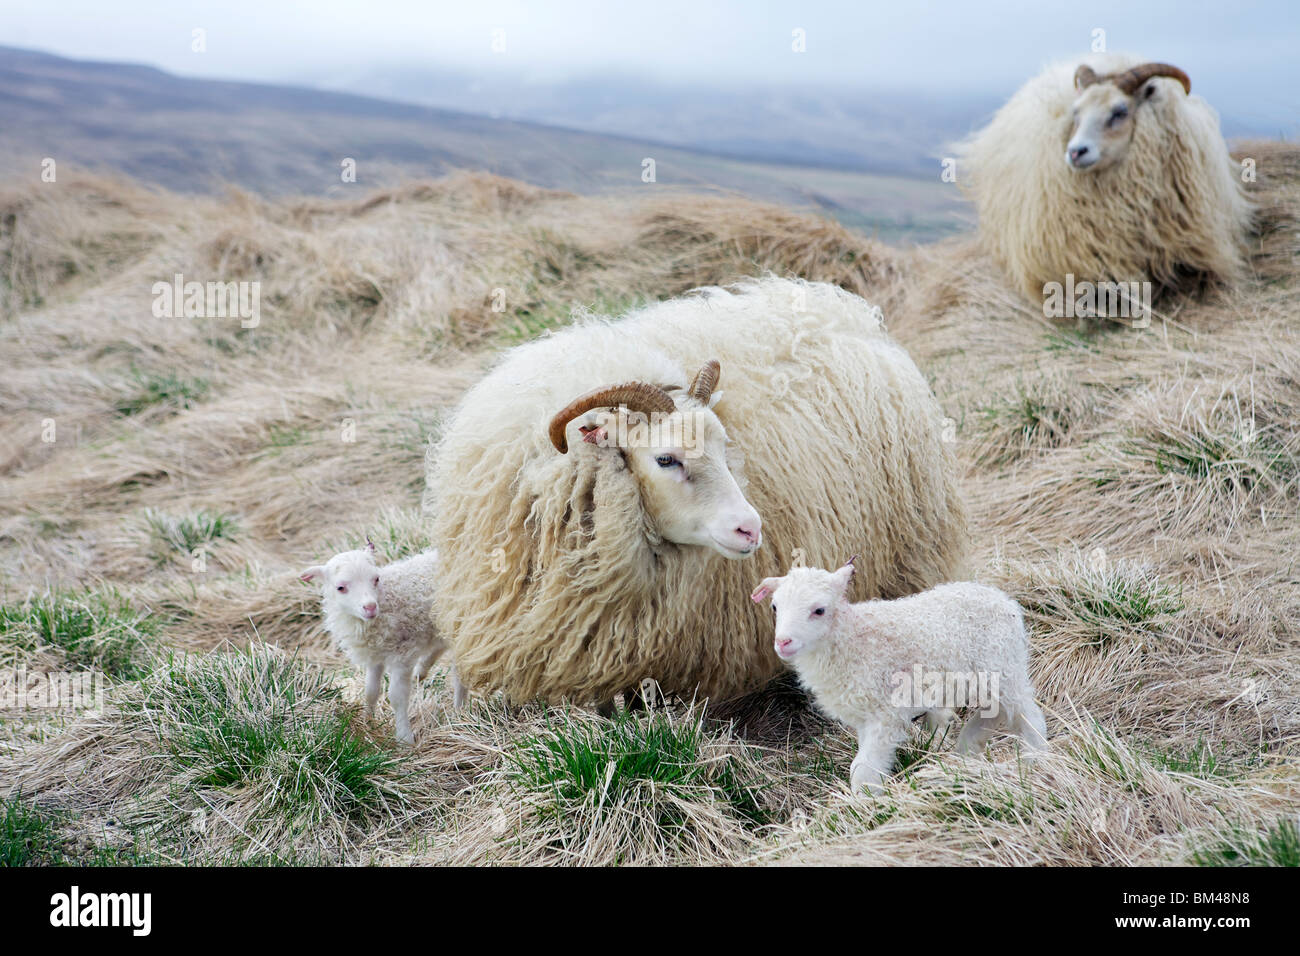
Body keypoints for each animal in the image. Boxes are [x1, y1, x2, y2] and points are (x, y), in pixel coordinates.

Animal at [301, 541, 464, 744]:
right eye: (340, 587)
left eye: (376, 579)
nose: (370, 607)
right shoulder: (374, 653)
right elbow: (370, 691)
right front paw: (367, 721)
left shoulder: (403, 653)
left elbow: (397, 696)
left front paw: (404, 738)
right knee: (440, 647)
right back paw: (422, 671)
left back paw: (459, 715)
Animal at [751, 558, 1048, 794]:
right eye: (775, 607)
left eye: (819, 610)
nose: (783, 642)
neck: (852, 639)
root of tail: (1003, 598)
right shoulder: (865, 717)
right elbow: (866, 763)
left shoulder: (887, 711)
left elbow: (863, 769)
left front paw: (866, 808)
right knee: (995, 711)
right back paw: (968, 748)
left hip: (1004, 667)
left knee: (1027, 714)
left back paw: (1035, 761)